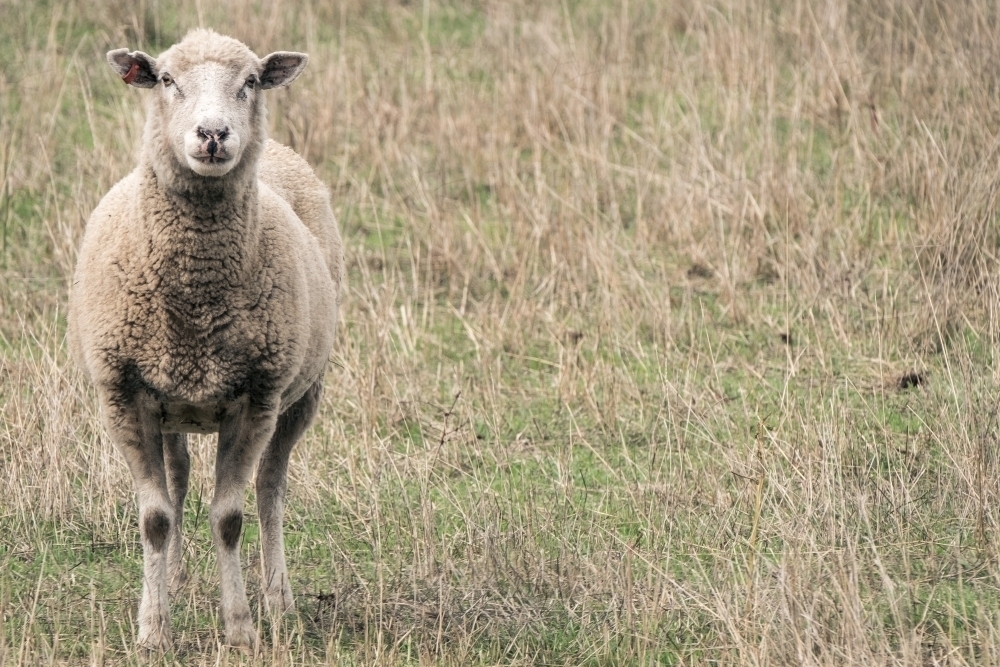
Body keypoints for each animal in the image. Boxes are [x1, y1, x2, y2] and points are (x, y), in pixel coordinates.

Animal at [68, 29, 344, 651]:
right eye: (167, 80)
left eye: (250, 83)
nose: (213, 134)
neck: (195, 301)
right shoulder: (124, 395)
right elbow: (155, 517)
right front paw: (153, 629)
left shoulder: (255, 398)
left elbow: (229, 517)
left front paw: (240, 628)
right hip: (172, 403)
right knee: (177, 482)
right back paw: (171, 579)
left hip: (302, 393)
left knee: (270, 489)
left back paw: (278, 599)